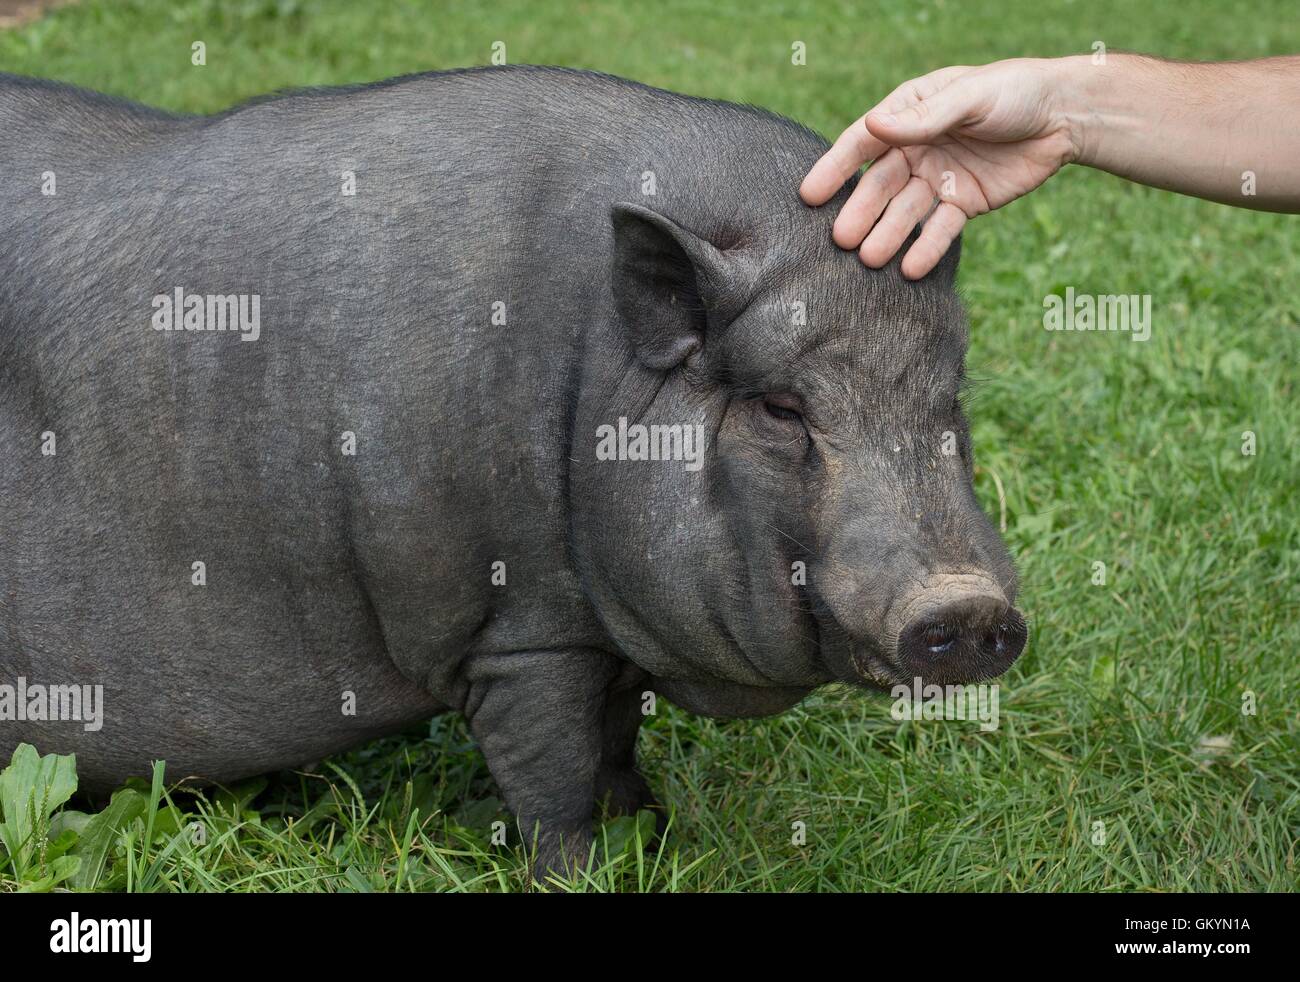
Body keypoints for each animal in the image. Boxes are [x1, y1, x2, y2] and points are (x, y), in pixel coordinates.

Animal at [0, 66, 1026, 877]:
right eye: (780, 408)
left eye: (952, 401)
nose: (971, 607)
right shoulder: (520, 630)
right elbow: (557, 775)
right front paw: (582, 874)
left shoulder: (602, 632)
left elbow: (619, 747)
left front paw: (658, 837)